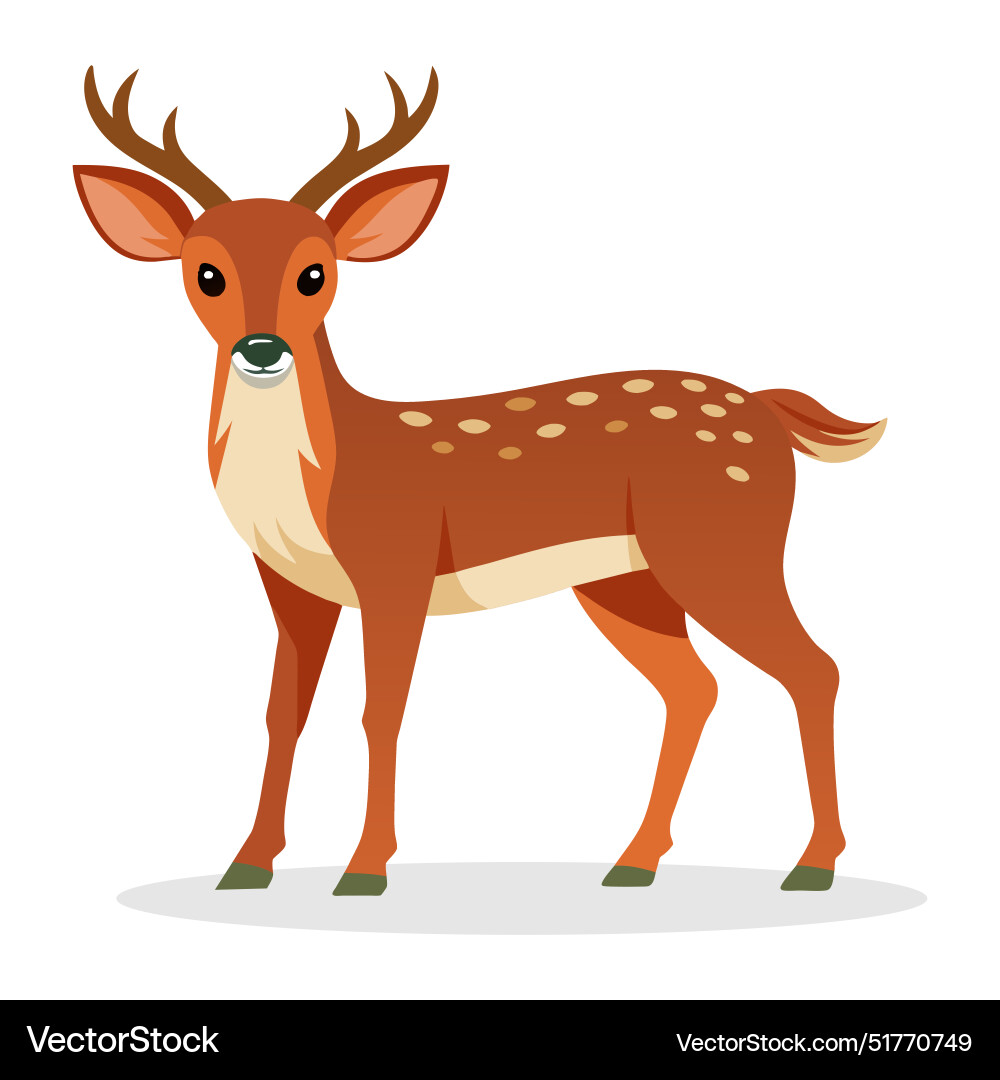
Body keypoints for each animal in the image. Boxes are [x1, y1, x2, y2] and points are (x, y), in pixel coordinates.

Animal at [74, 66, 885, 898]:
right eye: (206, 273)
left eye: (315, 273)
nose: (262, 349)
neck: (324, 484)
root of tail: (766, 409)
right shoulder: (291, 588)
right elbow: (282, 713)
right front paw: (248, 863)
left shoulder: (395, 569)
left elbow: (381, 710)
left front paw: (366, 869)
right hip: (625, 582)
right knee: (696, 688)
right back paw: (634, 861)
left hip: (724, 550)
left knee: (814, 669)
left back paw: (812, 864)